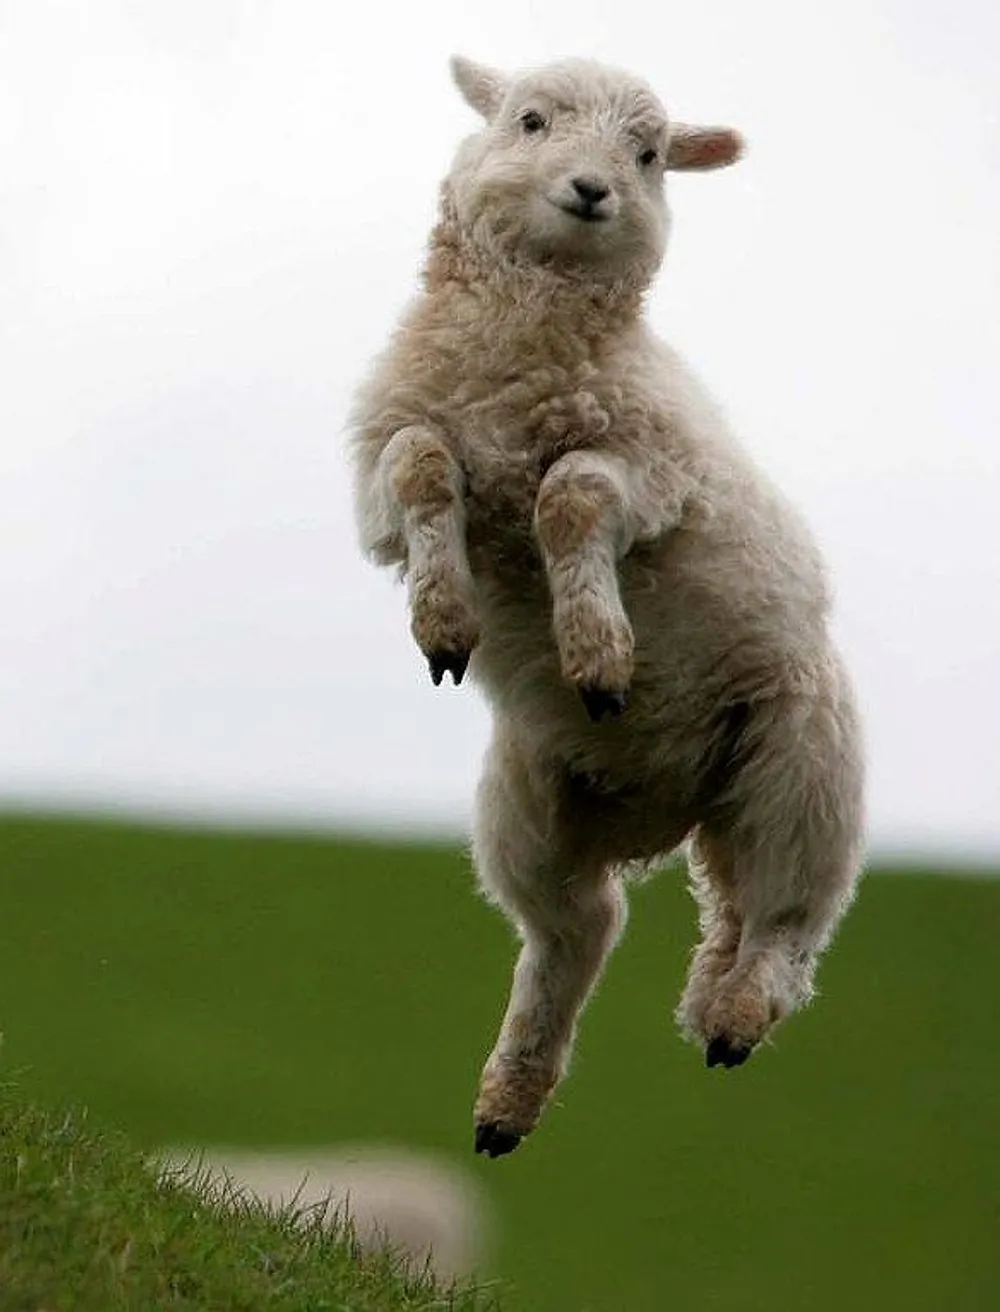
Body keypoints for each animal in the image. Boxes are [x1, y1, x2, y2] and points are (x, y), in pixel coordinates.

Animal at [349, 55, 865, 1158]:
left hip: (802, 767)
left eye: (649, 153)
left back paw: (736, 1014)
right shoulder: (389, 465)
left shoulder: (654, 473)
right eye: (531, 121)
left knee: (787, 918)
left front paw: (595, 648)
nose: (593, 192)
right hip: (531, 805)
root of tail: (669, 809)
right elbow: (420, 469)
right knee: (575, 931)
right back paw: (510, 1100)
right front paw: (445, 624)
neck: (519, 348)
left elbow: (570, 494)